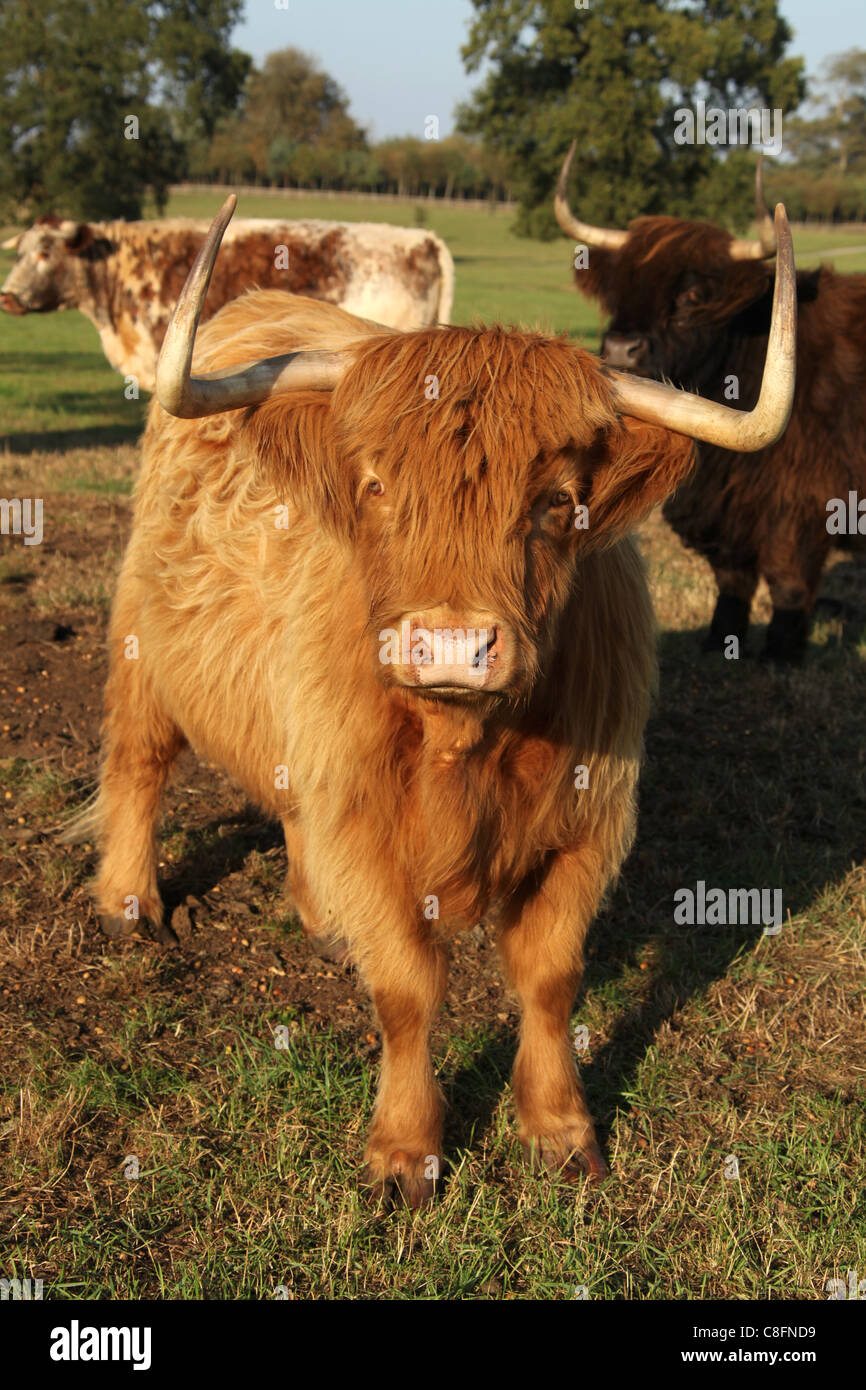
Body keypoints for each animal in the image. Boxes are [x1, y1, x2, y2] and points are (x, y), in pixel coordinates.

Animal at [78, 194, 794, 1205]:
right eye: (376, 485)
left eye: (557, 501)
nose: (452, 645)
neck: (469, 745)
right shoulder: (368, 821)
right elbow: (408, 990)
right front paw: (404, 1152)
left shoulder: (587, 823)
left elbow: (551, 978)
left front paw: (560, 1130)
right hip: (146, 641)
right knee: (137, 761)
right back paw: (131, 903)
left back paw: (315, 915)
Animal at [556, 144, 866, 661]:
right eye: (619, 291)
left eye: (692, 295)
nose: (621, 348)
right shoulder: (729, 511)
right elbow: (732, 579)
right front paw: (721, 639)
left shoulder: (803, 507)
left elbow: (788, 584)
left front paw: (781, 653)